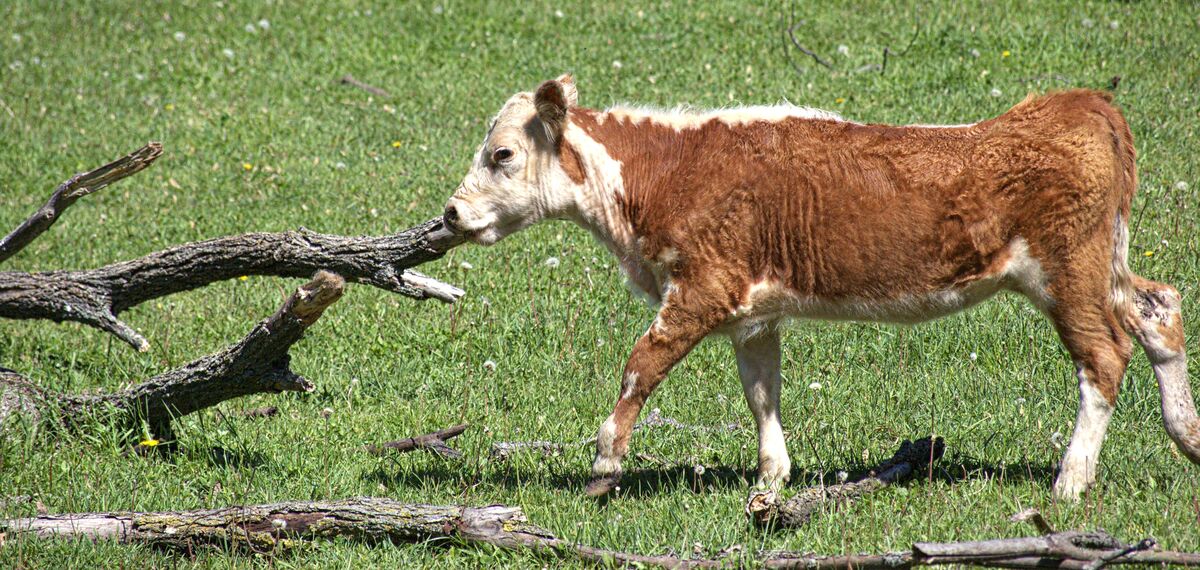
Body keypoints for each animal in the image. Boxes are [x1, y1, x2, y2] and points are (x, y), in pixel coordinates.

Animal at [440, 74, 1200, 501]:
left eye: (502, 153)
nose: (450, 214)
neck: (669, 172)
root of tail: (1080, 104)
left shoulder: (700, 290)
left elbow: (639, 368)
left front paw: (605, 464)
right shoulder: (753, 312)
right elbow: (761, 393)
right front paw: (771, 477)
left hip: (1068, 273)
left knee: (1103, 359)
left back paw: (1071, 482)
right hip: (1107, 266)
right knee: (1159, 310)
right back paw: (1187, 434)